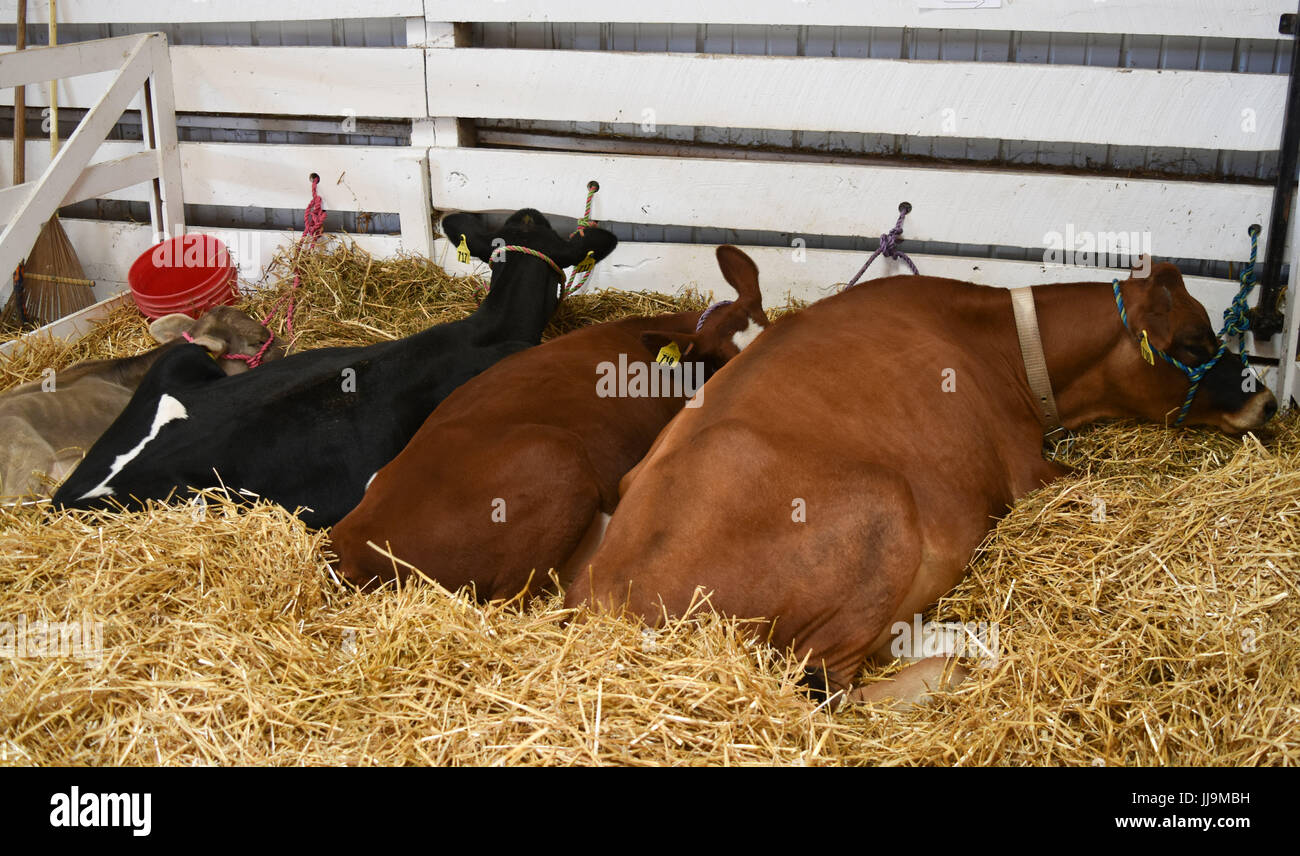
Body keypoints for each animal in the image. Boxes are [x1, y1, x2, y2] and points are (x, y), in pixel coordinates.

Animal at [565, 261, 1278, 707]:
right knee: (827, 692)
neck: (999, 345)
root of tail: (604, 594)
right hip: (883, 516)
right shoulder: (1032, 470)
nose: (1268, 400)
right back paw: (952, 670)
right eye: (1194, 341)